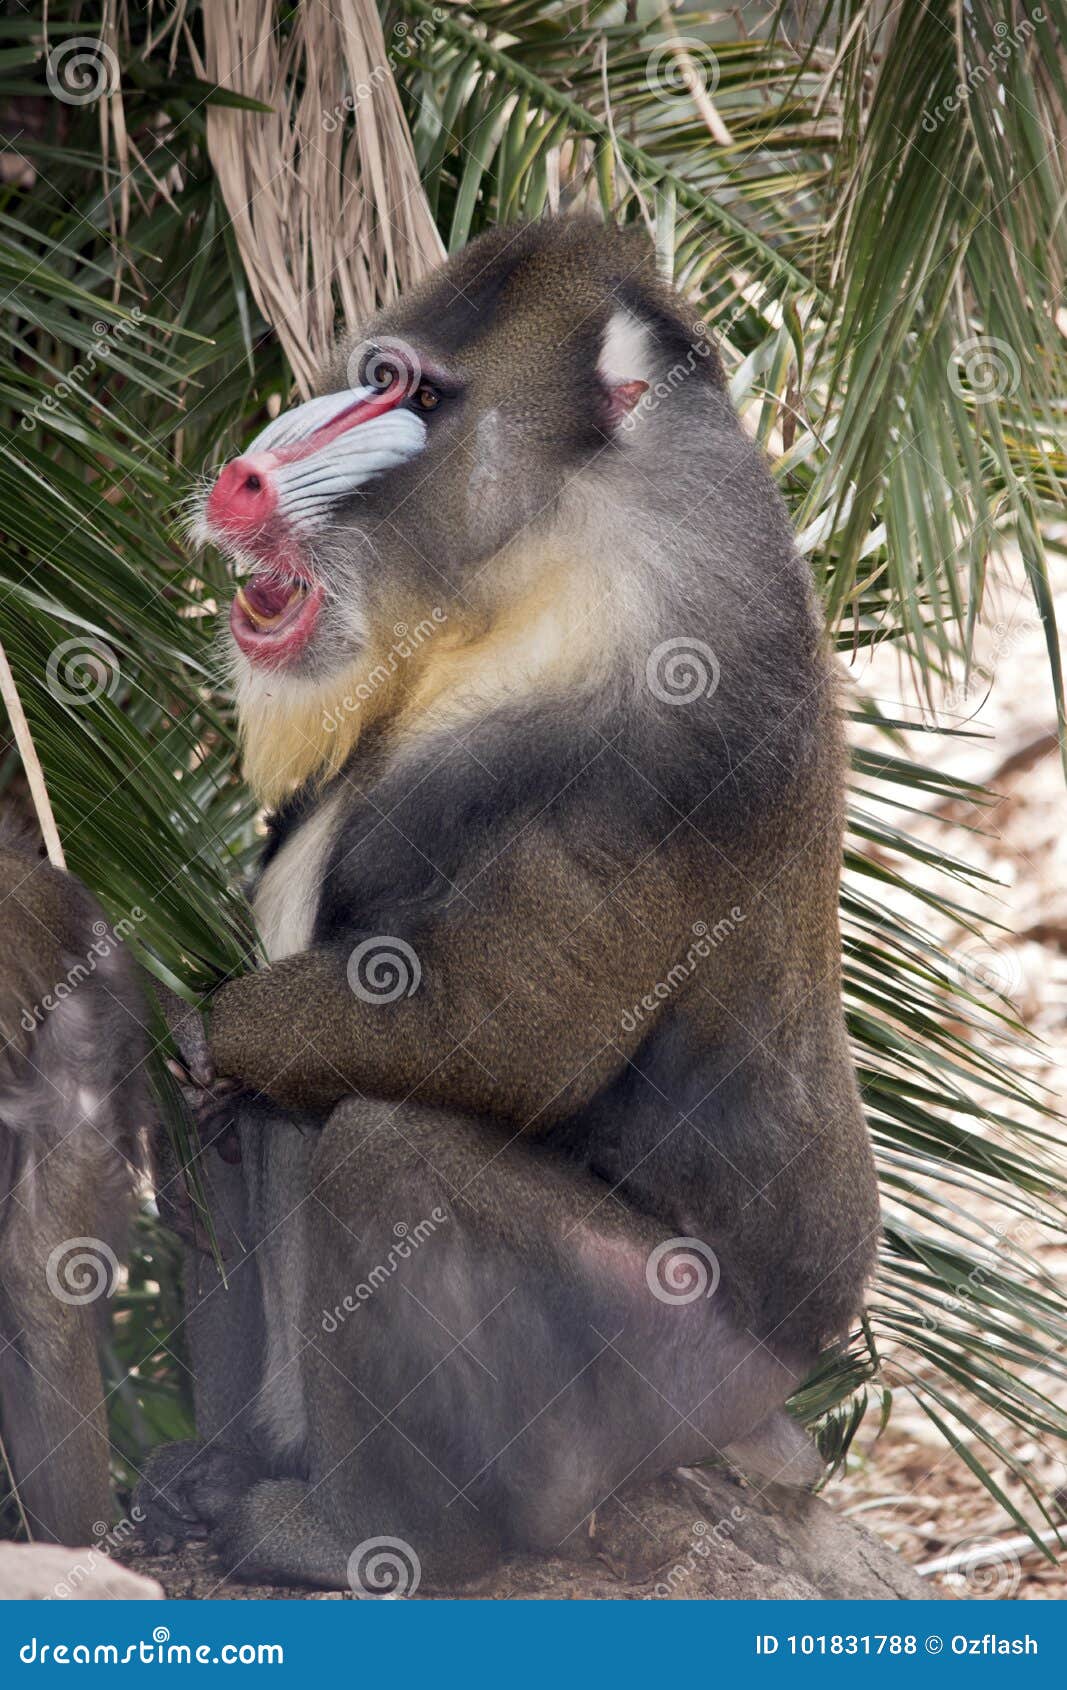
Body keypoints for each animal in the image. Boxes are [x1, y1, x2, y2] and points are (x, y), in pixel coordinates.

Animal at [137, 216, 881, 1592]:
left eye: (409, 393)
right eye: (370, 370)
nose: (246, 478)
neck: (545, 553)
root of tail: (772, 1395)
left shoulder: (674, 705)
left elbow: (506, 1033)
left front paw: (220, 1030)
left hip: (654, 1364)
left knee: (379, 1147)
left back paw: (360, 1536)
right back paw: (237, 1463)